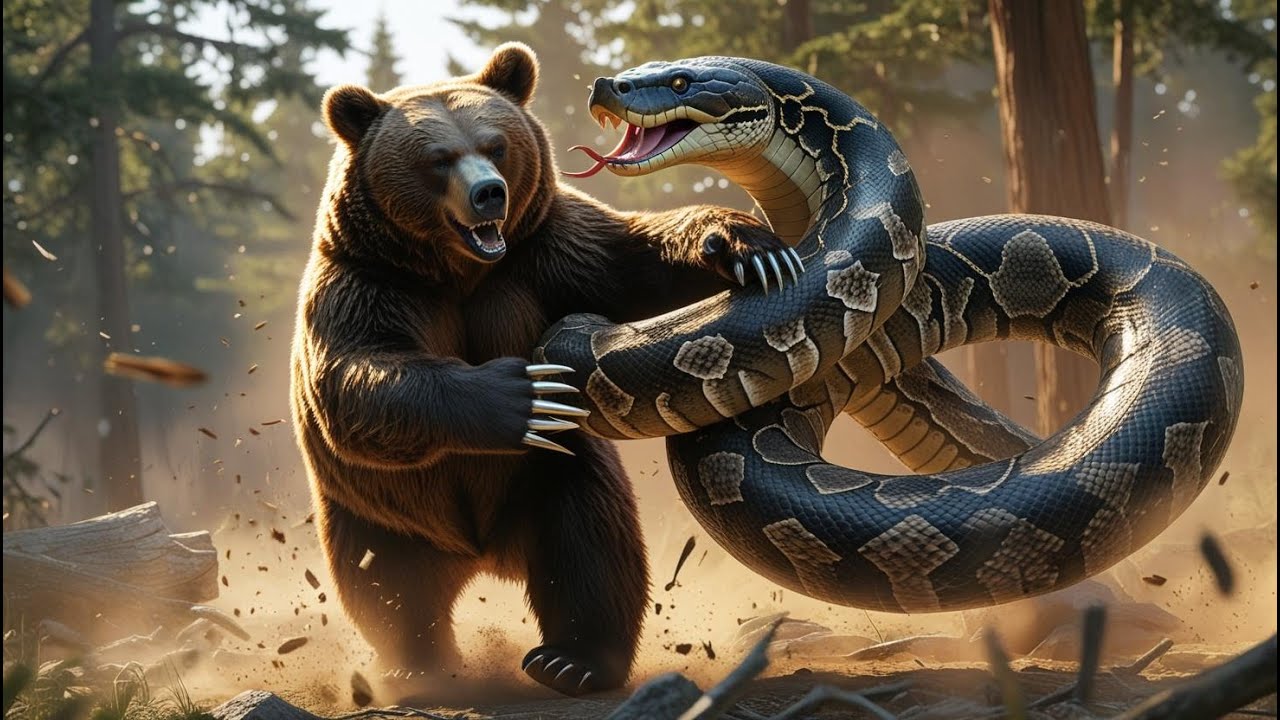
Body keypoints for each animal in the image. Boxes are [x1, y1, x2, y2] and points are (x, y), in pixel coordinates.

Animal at [289, 42, 787, 697]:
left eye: (496, 144)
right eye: (438, 159)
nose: (489, 194)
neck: (458, 270)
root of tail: (478, 554)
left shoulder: (550, 255)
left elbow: (637, 258)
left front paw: (740, 242)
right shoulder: (365, 286)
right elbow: (358, 379)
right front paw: (520, 394)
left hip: (549, 479)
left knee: (590, 546)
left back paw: (572, 661)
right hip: (380, 511)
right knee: (387, 589)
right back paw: (418, 665)